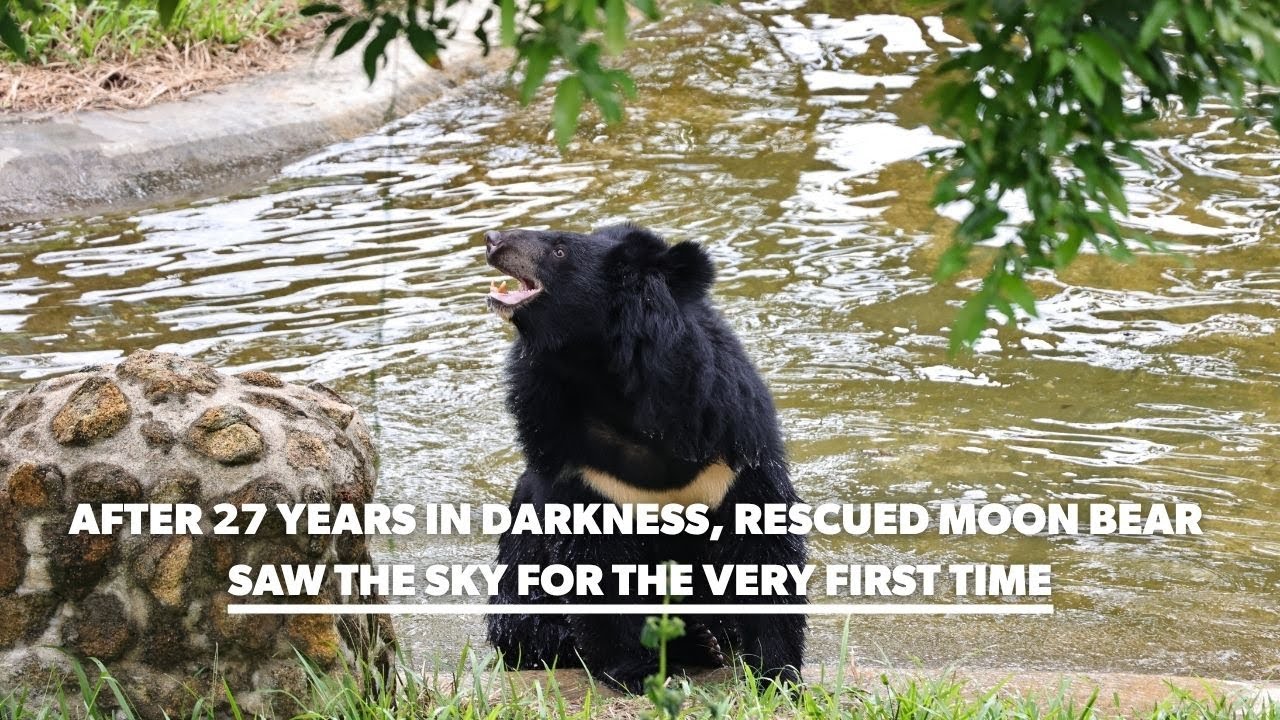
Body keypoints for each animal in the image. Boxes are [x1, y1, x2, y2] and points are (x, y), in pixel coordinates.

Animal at [482, 223, 806, 693]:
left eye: (560, 249)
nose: (492, 240)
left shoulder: (729, 443)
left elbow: (762, 548)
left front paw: (777, 674)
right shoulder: (581, 467)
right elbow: (598, 566)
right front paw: (635, 672)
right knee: (524, 626)